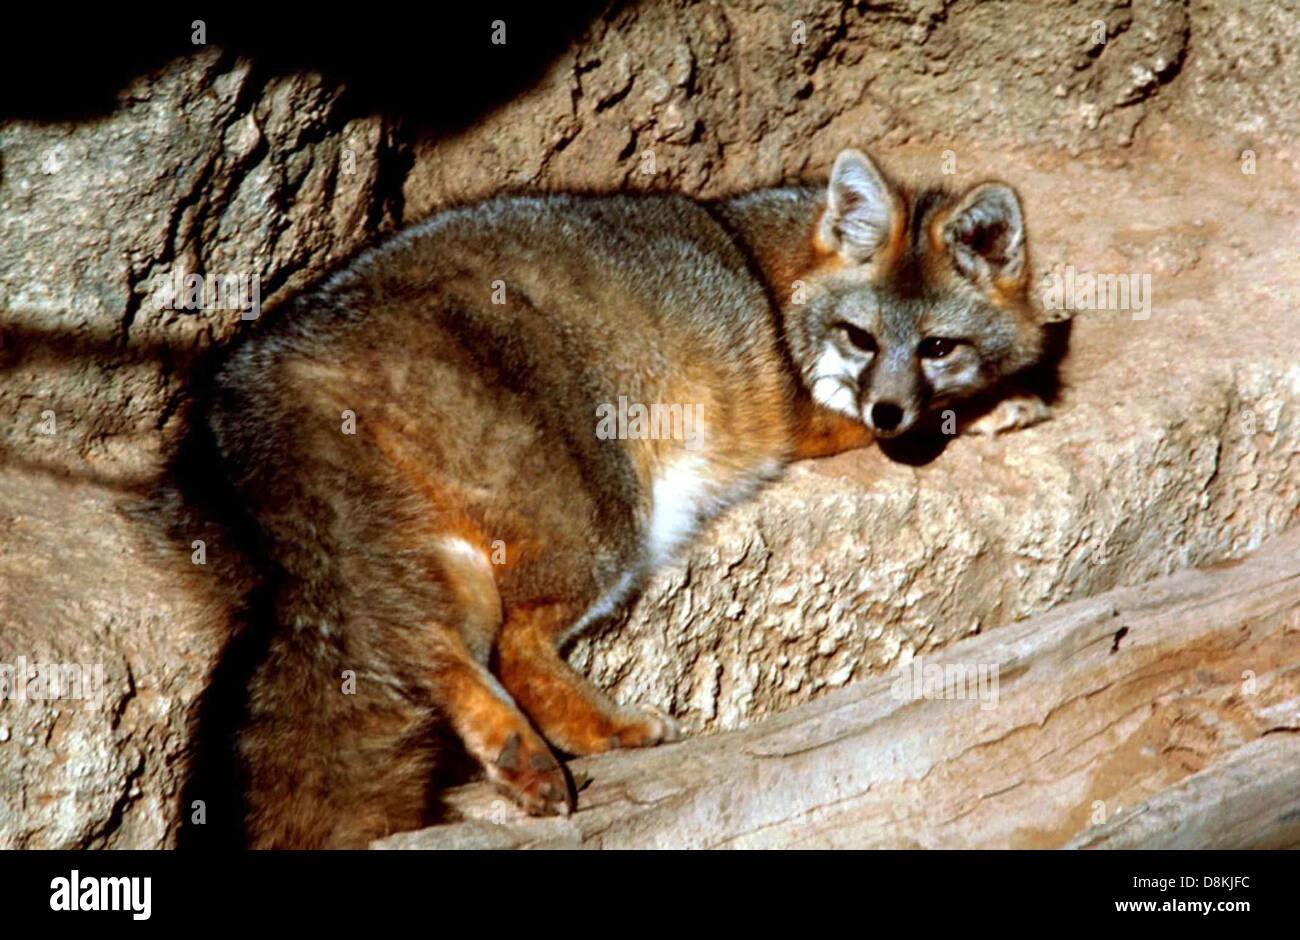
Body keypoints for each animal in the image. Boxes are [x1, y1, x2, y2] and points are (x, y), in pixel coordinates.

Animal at [194, 147, 1054, 848]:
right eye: (860, 338)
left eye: (937, 347)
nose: (887, 411)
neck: (778, 271)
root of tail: (268, 357)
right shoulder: (804, 415)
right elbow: (917, 419)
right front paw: (999, 404)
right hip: (604, 526)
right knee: (510, 646)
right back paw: (595, 735)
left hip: (445, 561)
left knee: (431, 648)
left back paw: (518, 754)